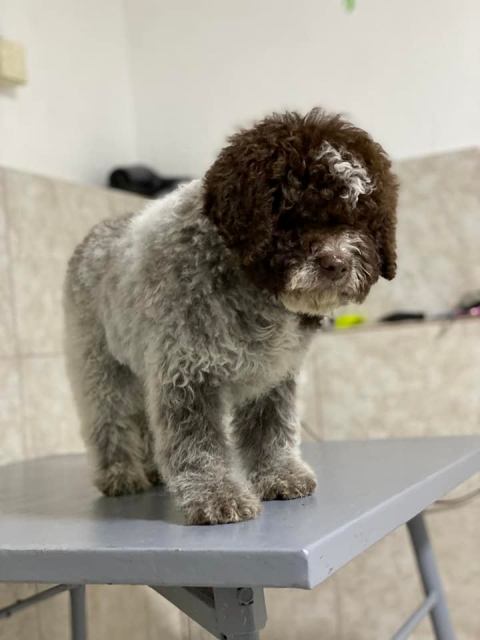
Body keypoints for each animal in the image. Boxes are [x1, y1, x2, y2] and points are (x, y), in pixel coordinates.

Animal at [64, 106, 402, 524]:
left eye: (361, 217)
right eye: (291, 214)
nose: (336, 263)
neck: (250, 290)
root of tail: (94, 234)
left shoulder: (273, 375)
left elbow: (270, 429)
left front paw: (279, 474)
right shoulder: (186, 374)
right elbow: (198, 443)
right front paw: (215, 494)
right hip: (99, 366)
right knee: (107, 420)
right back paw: (119, 473)